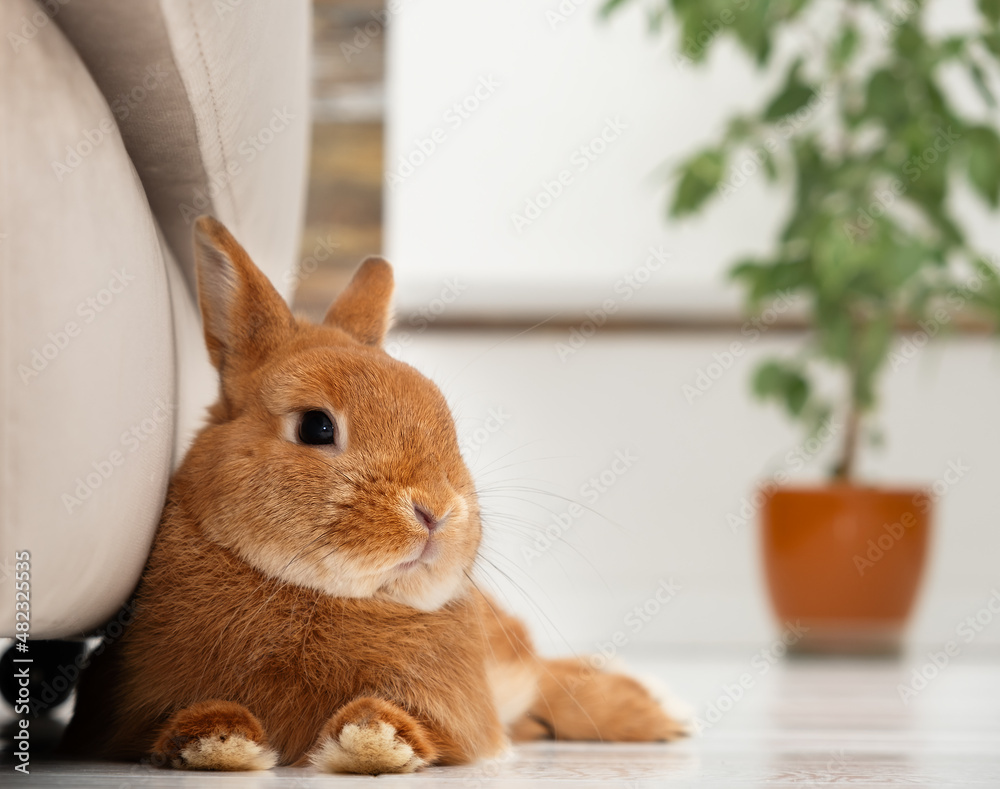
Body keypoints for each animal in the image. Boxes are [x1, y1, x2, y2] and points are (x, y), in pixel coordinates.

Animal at [60, 216, 687, 774]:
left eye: (446, 422)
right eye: (316, 426)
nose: (437, 512)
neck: (316, 593)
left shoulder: (460, 715)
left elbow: (427, 732)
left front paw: (377, 736)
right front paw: (214, 737)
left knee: (544, 678)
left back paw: (660, 712)